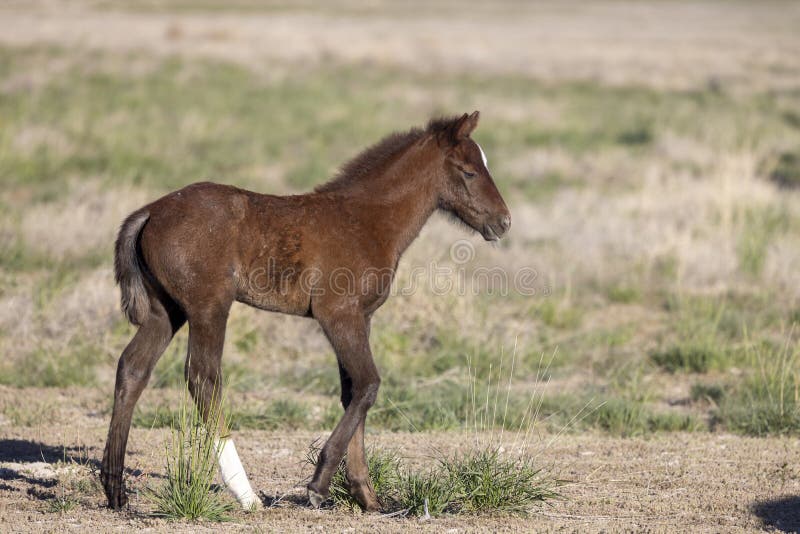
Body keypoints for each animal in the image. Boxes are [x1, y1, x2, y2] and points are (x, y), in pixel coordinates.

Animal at [100, 111, 511, 512]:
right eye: (469, 171)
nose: (503, 222)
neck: (366, 219)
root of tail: (150, 211)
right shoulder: (338, 314)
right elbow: (369, 385)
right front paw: (319, 485)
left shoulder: (362, 318)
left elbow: (353, 392)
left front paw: (368, 498)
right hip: (209, 307)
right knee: (203, 377)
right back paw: (246, 495)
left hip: (165, 311)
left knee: (133, 368)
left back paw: (115, 489)